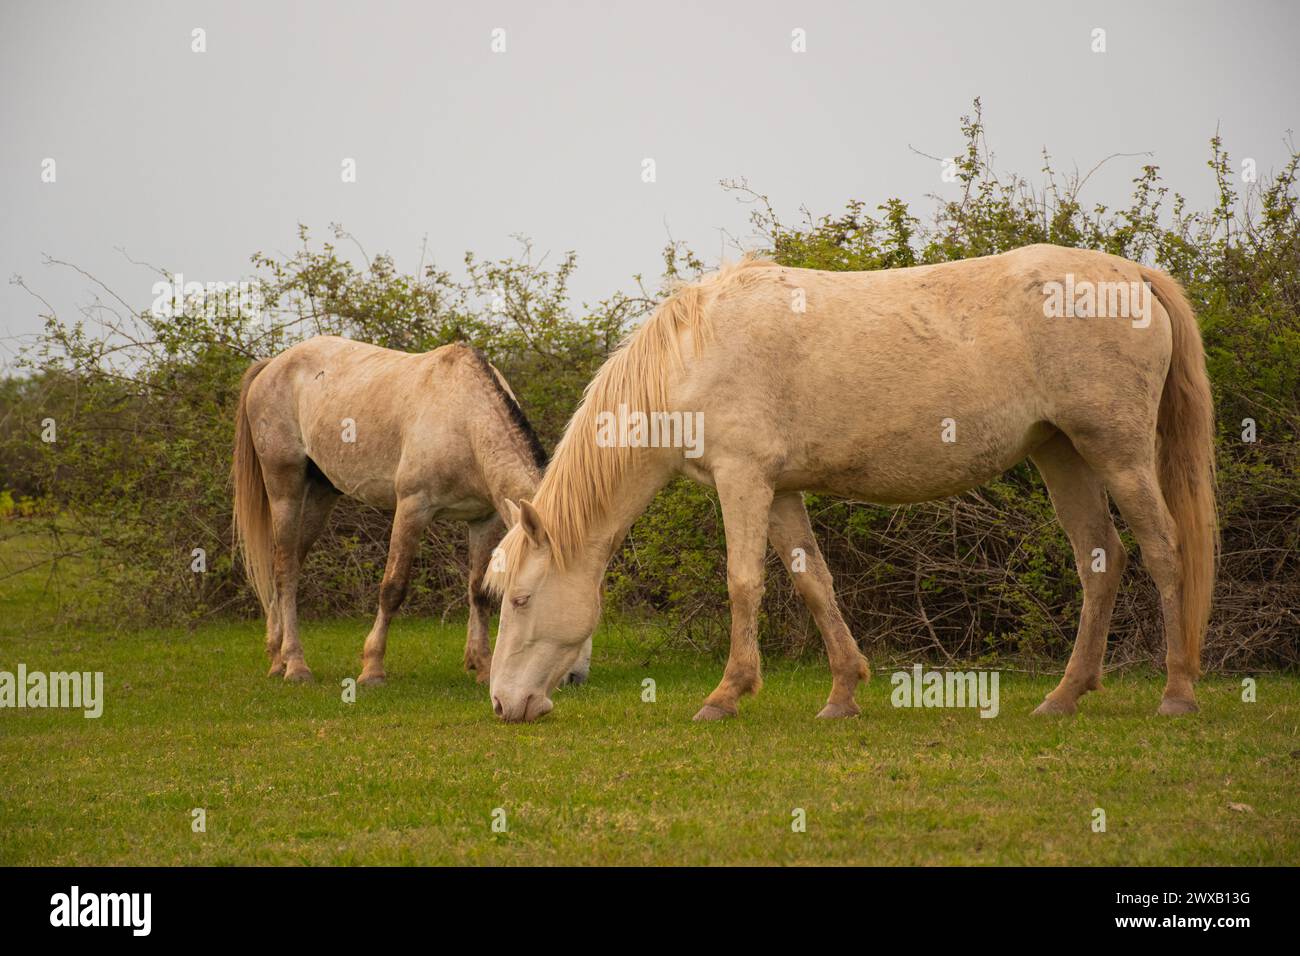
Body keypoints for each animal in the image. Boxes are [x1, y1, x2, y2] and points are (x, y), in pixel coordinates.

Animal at [231, 335, 592, 686]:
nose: (574, 677)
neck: (464, 418)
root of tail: (273, 365)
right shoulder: (412, 508)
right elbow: (393, 588)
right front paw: (372, 669)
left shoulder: (484, 519)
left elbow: (479, 591)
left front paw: (483, 666)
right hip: (285, 487)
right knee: (285, 570)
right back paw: (295, 665)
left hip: (321, 494)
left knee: (288, 568)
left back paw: (277, 657)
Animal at [484, 245, 1217, 723]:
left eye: (520, 599)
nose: (502, 703)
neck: (693, 354)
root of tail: (1134, 273)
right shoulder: (778, 490)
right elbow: (812, 580)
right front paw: (842, 694)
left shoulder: (742, 479)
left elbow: (742, 583)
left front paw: (726, 695)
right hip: (1061, 453)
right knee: (1101, 561)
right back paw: (1064, 696)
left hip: (1117, 453)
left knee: (1163, 551)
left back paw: (1177, 693)